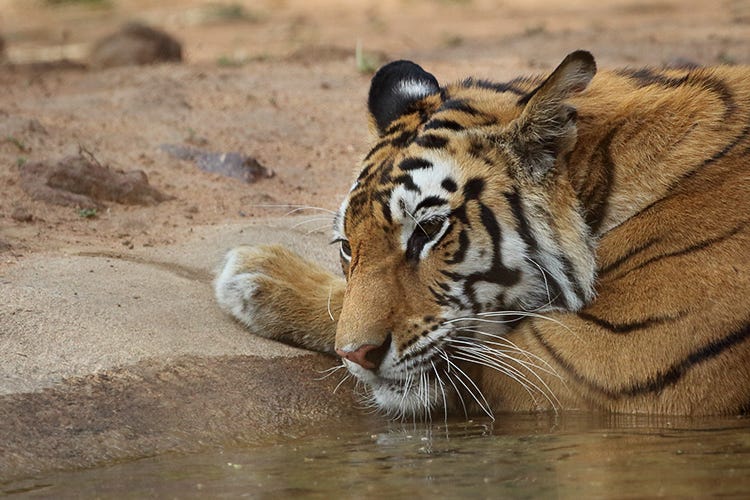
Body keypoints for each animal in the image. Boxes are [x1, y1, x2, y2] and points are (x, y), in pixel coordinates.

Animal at [215, 50, 750, 418]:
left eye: (428, 230)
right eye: (348, 247)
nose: (356, 356)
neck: (603, 180)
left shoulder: (597, 367)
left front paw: (257, 273)